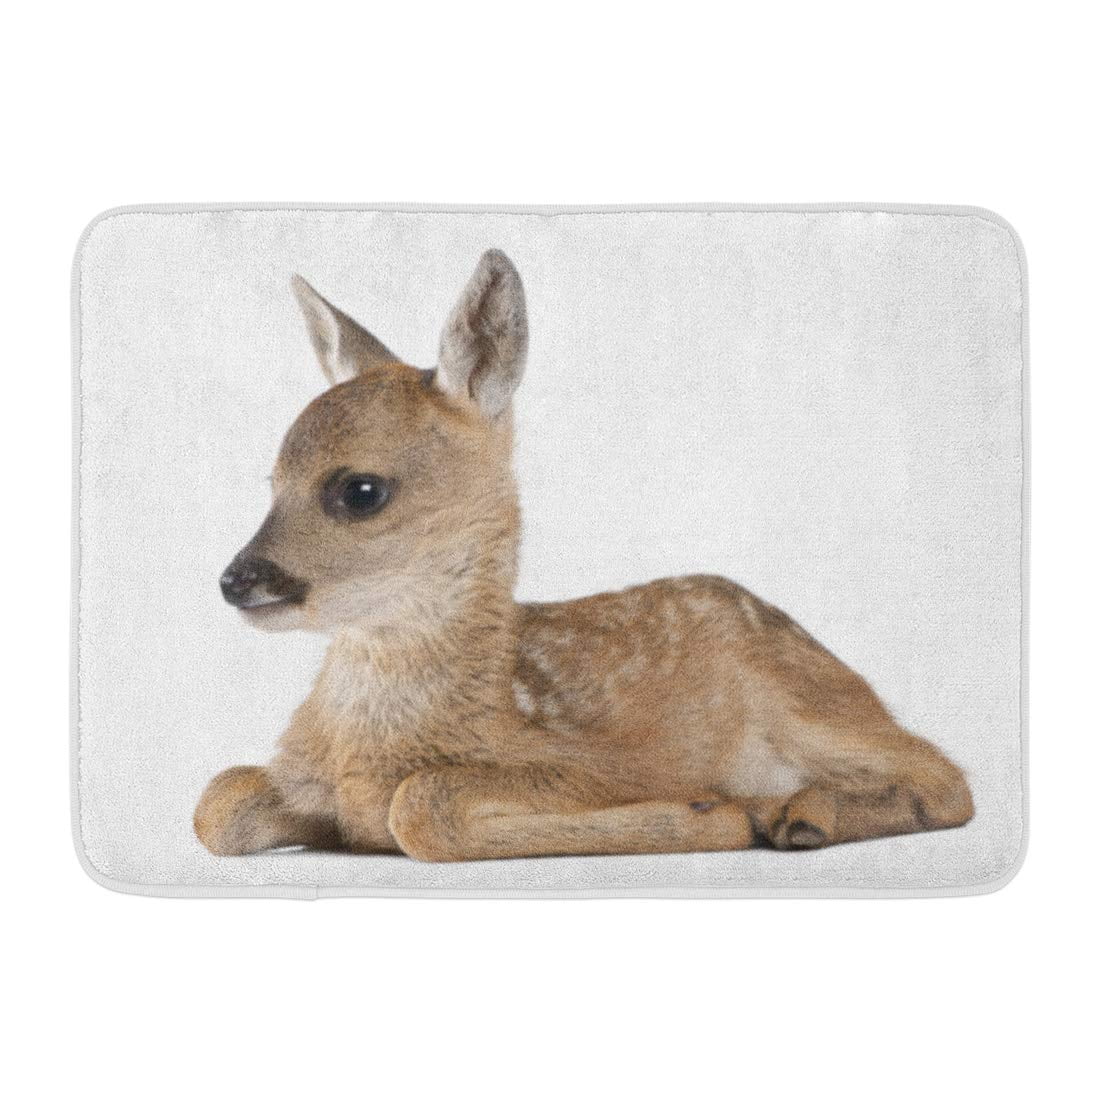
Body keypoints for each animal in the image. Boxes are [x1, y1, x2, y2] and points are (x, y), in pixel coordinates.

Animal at [194, 249, 974, 861]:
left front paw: (712, 813)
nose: (236, 580)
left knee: (948, 779)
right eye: (272, 481)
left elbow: (422, 805)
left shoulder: (597, 764)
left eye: (360, 490)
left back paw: (798, 814)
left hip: (805, 704)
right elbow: (217, 801)